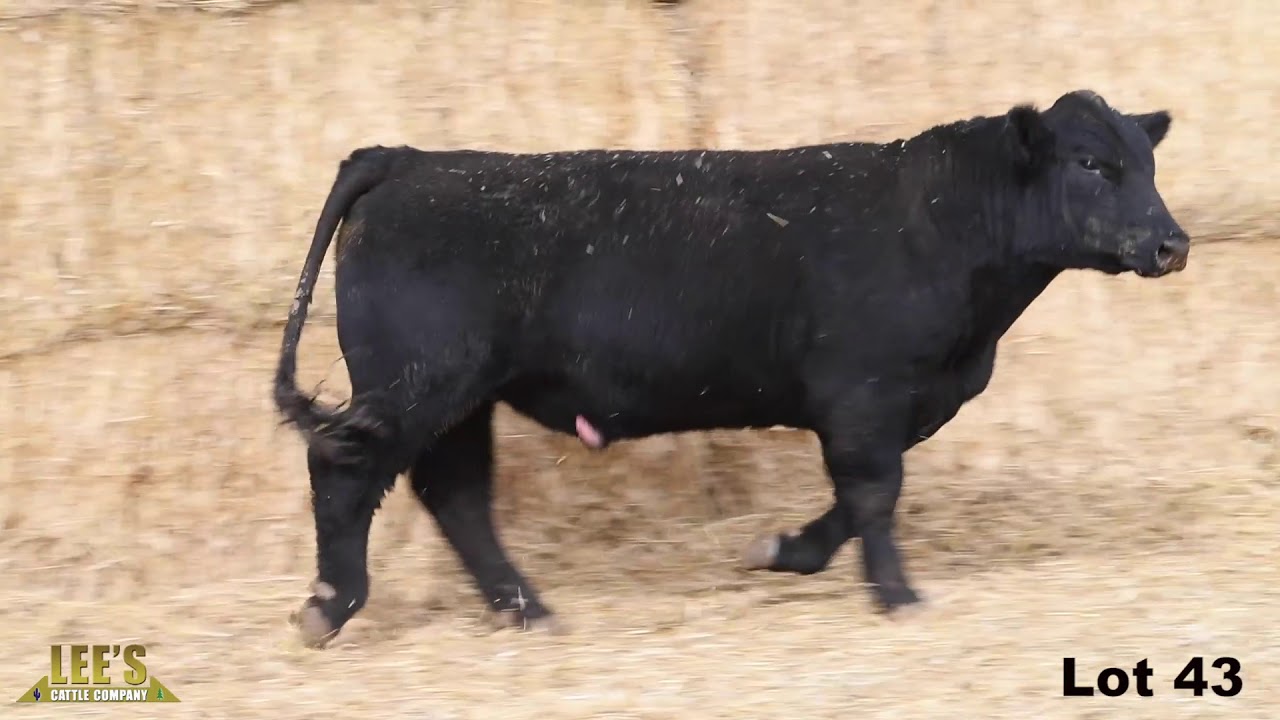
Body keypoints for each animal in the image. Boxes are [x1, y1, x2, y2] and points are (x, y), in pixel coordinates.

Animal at [273, 89, 1189, 648]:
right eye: (1091, 164)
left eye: (1146, 164)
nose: (1171, 243)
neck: (944, 225)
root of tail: (410, 157)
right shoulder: (864, 392)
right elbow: (874, 492)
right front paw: (895, 595)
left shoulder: (902, 402)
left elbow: (857, 499)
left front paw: (786, 550)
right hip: (421, 382)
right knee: (345, 467)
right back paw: (329, 606)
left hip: (463, 398)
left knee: (455, 495)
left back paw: (526, 609)